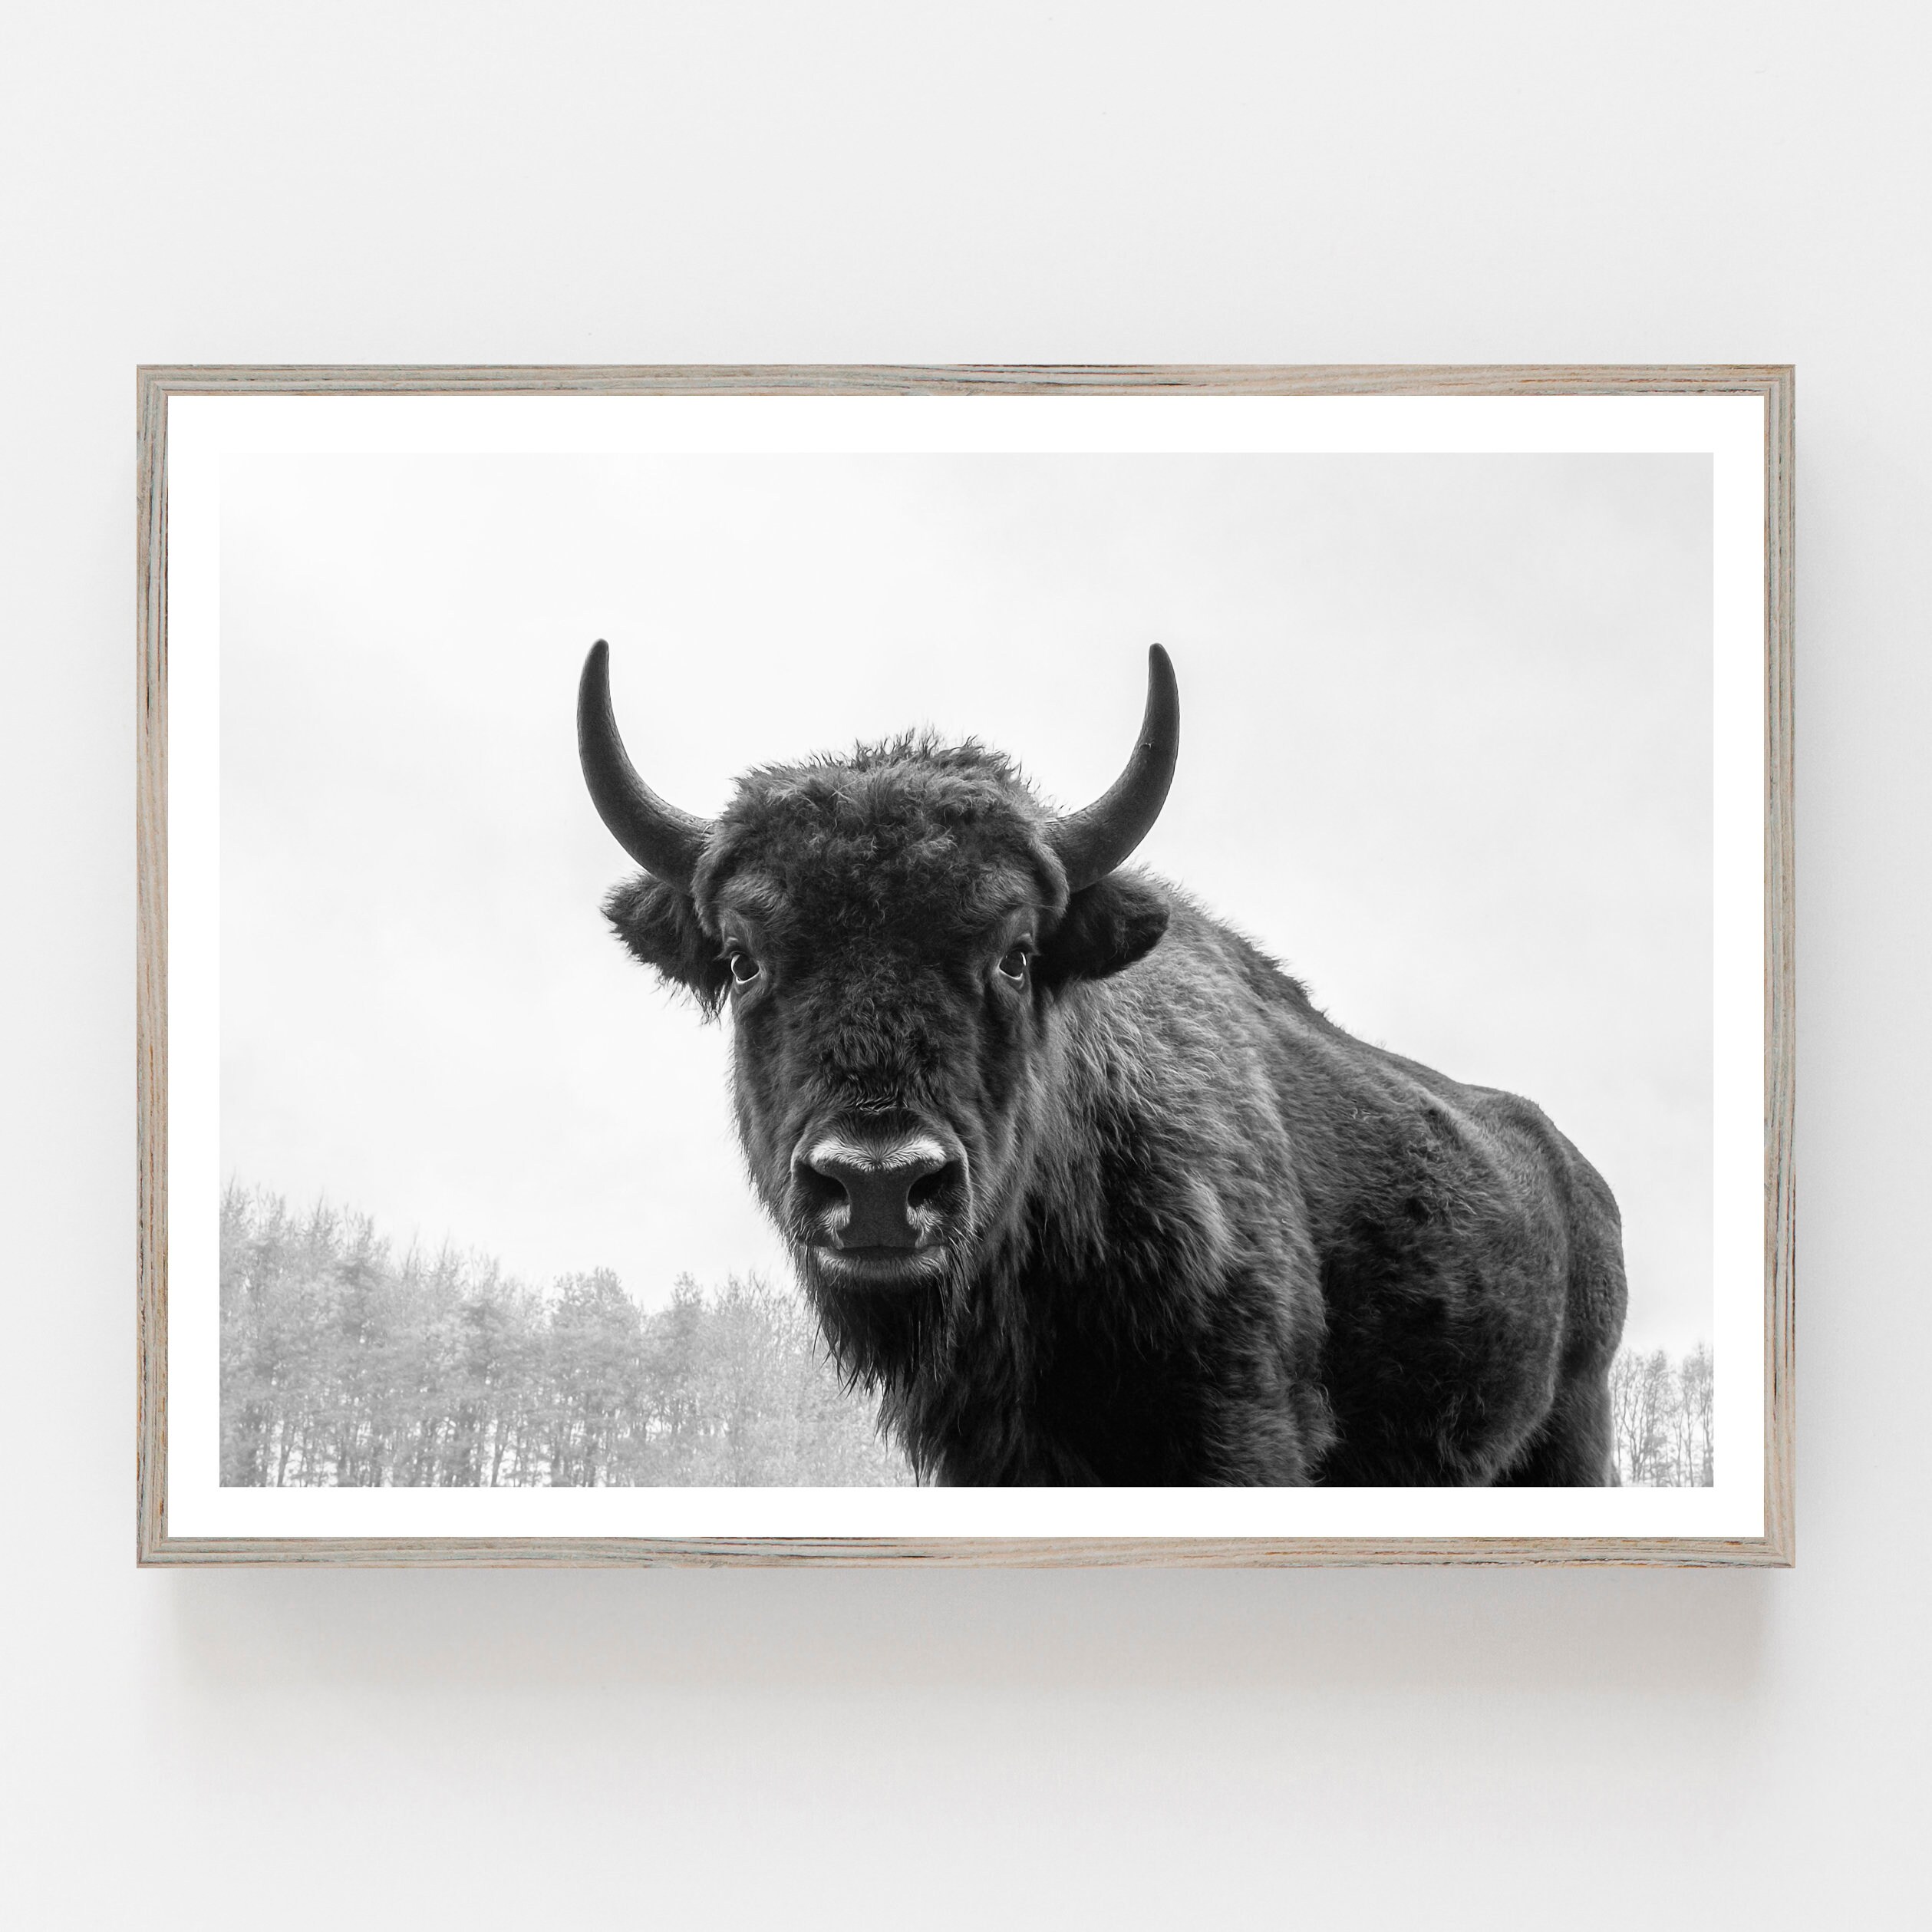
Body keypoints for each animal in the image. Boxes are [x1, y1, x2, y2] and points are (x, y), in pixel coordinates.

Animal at [579, 640, 1628, 1485]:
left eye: (1014, 952)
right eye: (744, 958)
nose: (878, 1184)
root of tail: (1575, 1170)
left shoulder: (1240, 1432)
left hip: (1569, 1442)